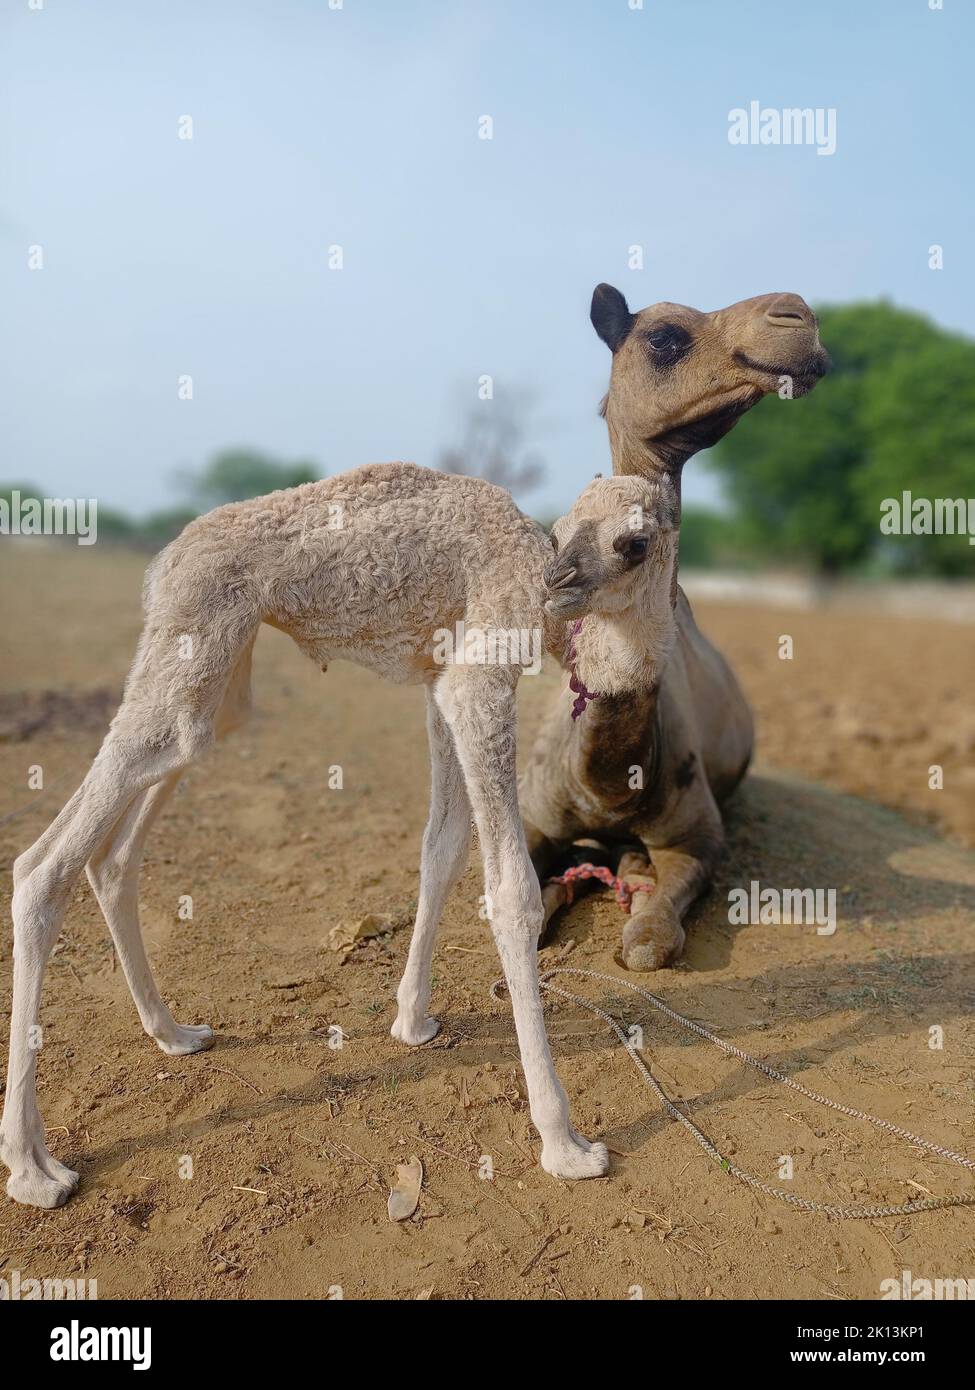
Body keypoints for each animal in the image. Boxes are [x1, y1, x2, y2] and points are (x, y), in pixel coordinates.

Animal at [1, 462, 680, 1209]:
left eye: (634, 543)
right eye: (568, 527)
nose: (556, 582)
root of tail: (164, 563)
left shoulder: (439, 681)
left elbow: (441, 848)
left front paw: (413, 1021)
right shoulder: (479, 679)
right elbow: (510, 892)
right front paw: (565, 1144)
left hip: (213, 680)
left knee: (121, 843)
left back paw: (173, 1033)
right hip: (195, 641)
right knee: (41, 869)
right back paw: (34, 1168)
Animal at [520, 284, 830, 968]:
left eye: (636, 543)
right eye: (664, 337)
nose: (798, 315)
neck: (607, 788)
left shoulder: (698, 834)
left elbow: (650, 941)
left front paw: (637, 912)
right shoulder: (533, 815)